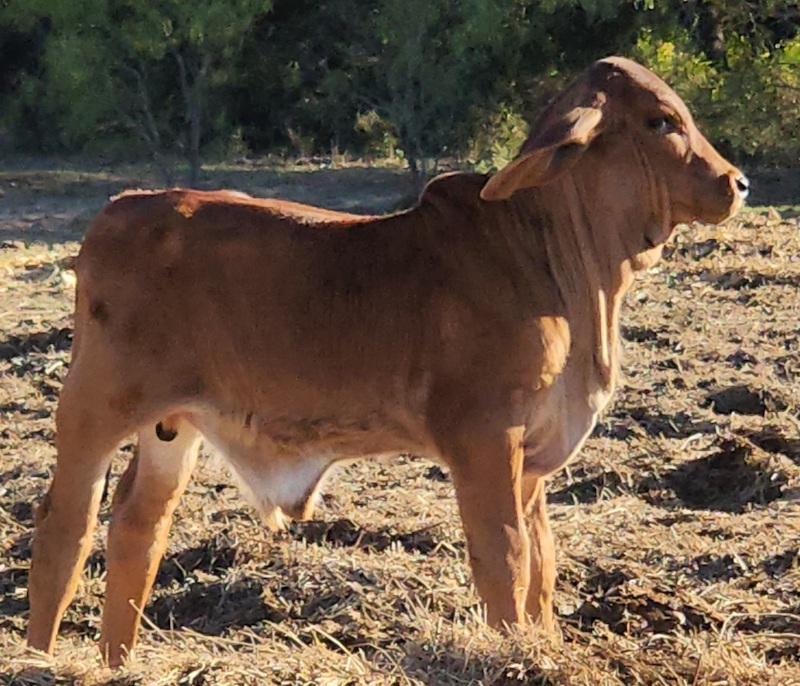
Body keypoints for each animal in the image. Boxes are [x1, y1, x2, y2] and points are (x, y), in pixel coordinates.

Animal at [26, 56, 748, 667]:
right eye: (661, 121)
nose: (736, 182)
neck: (557, 264)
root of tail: (120, 207)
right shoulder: (486, 441)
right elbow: (506, 559)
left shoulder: (533, 456)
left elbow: (542, 566)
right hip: (93, 407)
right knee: (66, 525)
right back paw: (40, 660)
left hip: (172, 425)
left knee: (137, 528)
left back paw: (118, 664)